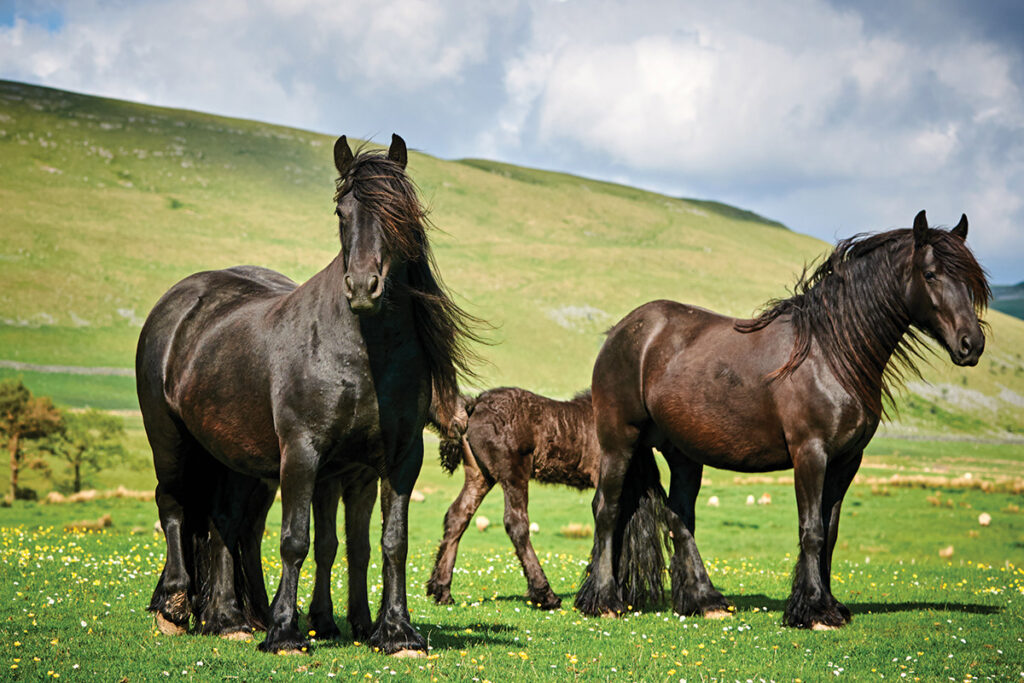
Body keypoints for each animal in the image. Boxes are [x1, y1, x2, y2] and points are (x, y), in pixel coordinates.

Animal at [136, 134, 479, 655]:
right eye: (341, 211)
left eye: (399, 212)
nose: (363, 287)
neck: (360, 353)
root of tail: (178, 301)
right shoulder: (303, 453)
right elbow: (296, 540)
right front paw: (284, 633)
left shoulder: (396, 460)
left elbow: (387, 542)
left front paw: (395, 632)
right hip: (171, 441)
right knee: (174, 505)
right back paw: (175, 608)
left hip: (234, 459)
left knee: (224, 521)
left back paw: (228, 618)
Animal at [425, 387, 669, 611]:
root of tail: (475, 404)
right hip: (513, 473)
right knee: (516, 524)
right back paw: (545, 595)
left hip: (480, 475)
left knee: (458, 515)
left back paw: (441, 591)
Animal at [575, 211, 989, 629]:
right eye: (931, 274)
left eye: (971, 280)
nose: (972, 344)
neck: (829, 353)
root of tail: (622, 331)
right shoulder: (810, 453)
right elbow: (812, 531)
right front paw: (813, 610)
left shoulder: (845, 461)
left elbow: (830, 531)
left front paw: (830, 606)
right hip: (619, 441)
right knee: (607, 509)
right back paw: (604, 600)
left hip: (684, 454)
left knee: (680, 517)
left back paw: (704, 600)